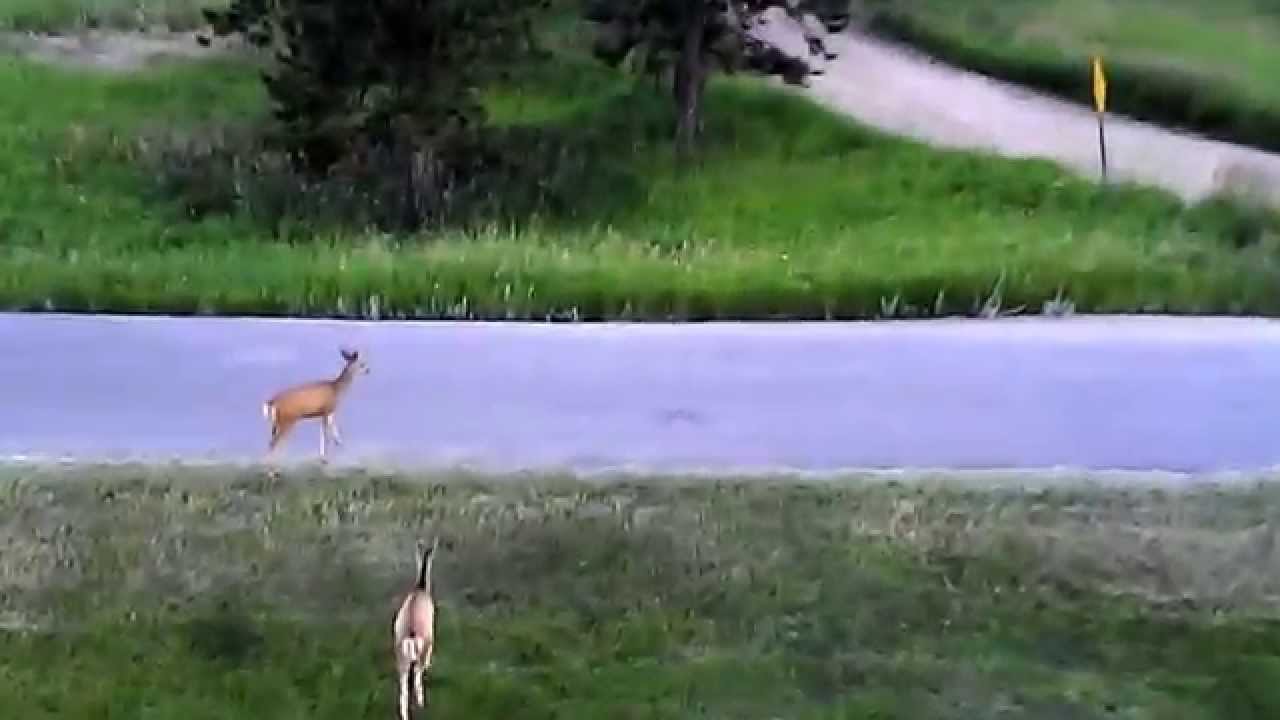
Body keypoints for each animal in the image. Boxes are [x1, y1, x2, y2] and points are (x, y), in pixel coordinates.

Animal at [393, 537, 439, 720]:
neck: (420, 587)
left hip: (401, 657)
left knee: (403, 690)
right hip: (421, 652)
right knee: (417, 678)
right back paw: (422, 705)